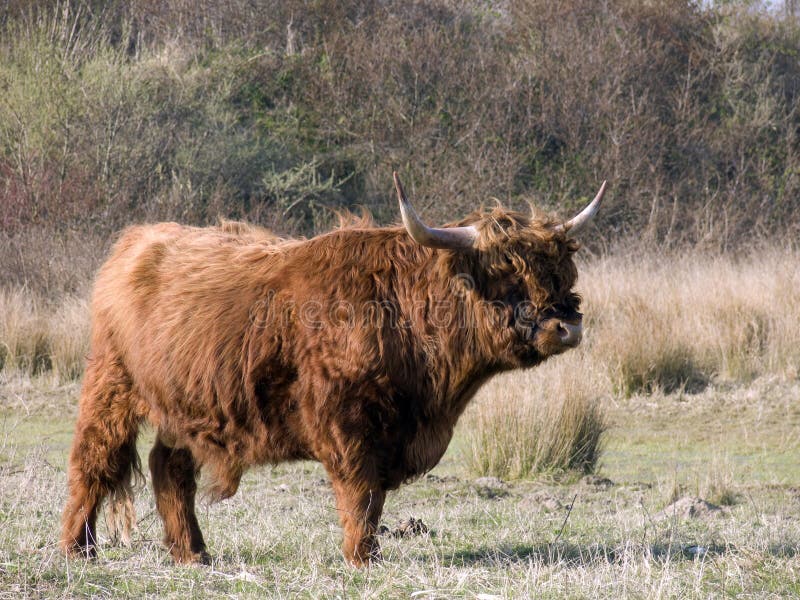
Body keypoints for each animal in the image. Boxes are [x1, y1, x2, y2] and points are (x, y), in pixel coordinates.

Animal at [61, 172, 606, 566]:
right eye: (509, 274)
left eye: (563, 272)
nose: (567, 326)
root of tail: (138, 238)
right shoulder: (348, 421)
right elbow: (360, 492)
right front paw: (362, 558)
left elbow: (375, 497)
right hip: (112, 383)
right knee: (94, 459)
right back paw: (78, 548)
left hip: (187, 402)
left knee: (169, 467)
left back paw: (192, 554)